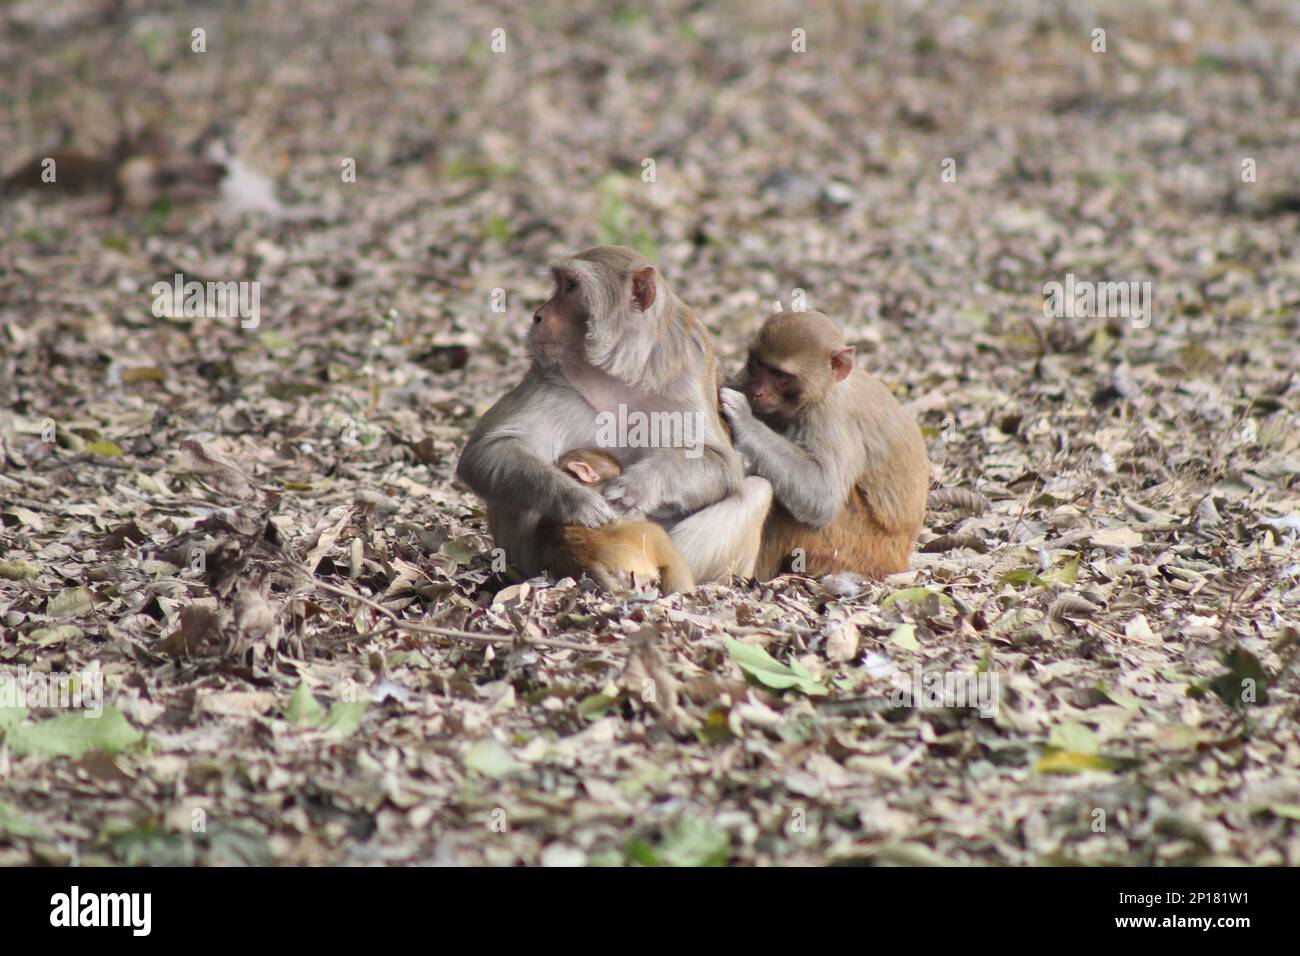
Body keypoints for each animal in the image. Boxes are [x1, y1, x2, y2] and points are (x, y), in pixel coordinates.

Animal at [719, 310, 929, 580]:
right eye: (757, 363)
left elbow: (823, 495)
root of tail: (900, 558)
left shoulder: (829, 417)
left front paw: (744, 418)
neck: (824, 389)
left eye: (779, 375)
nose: (757, 392)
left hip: (853, 547)